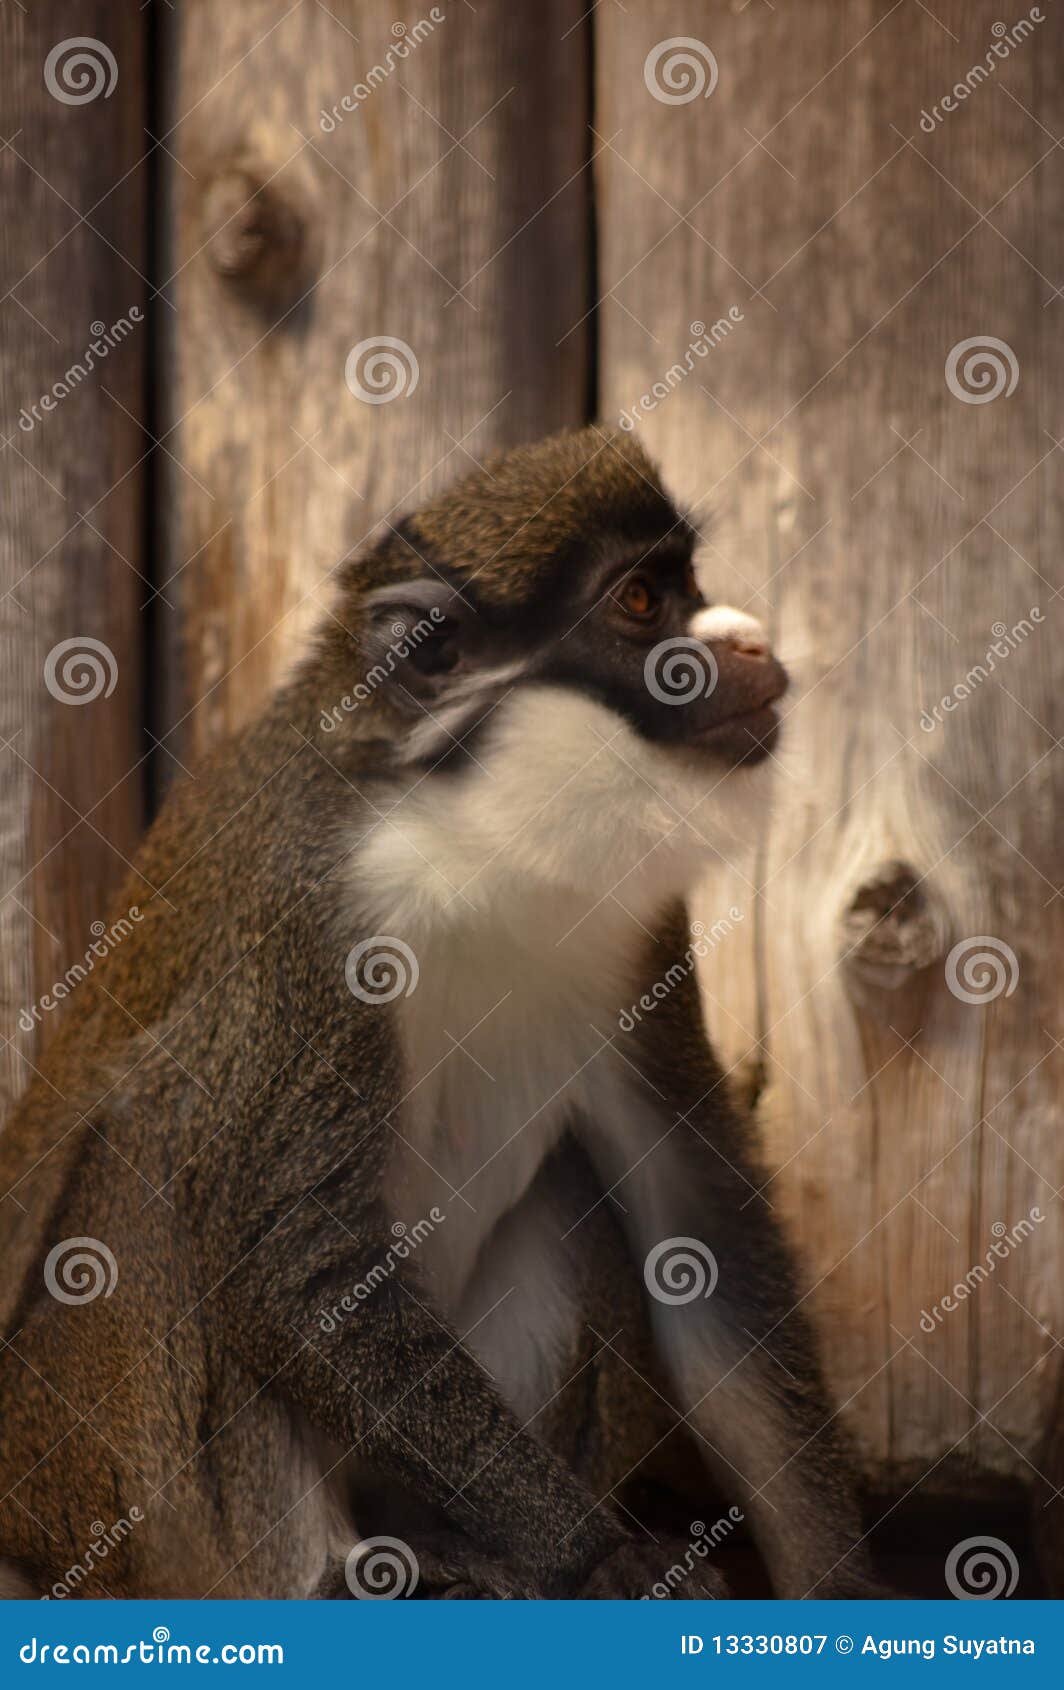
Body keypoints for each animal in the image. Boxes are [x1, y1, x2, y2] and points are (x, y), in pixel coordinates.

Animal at [0, 426, 881, 1601]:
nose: (746, 642)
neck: (472, 832)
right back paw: (331, 1580)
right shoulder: (315, 926)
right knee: (166, 1143)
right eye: (641, 601)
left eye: (685, 585)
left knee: (571, 1191)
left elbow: (704, 1244)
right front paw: (602, 1558)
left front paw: (841, 1586)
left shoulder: (640, 940)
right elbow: (293, 1262)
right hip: (95, 1488)